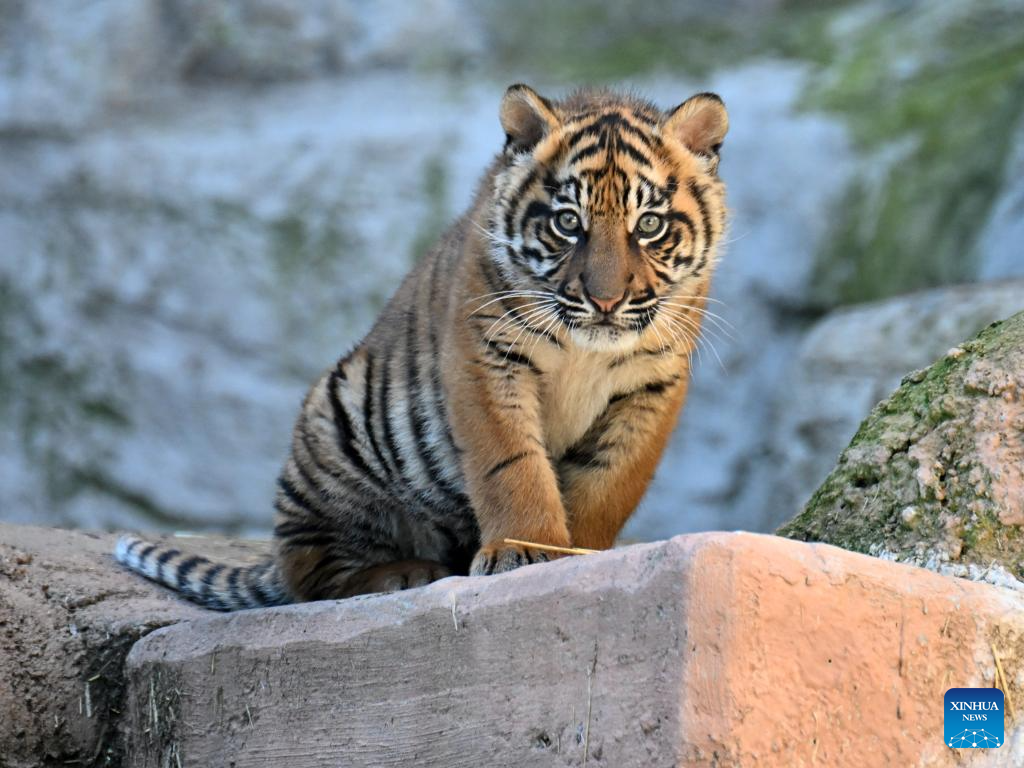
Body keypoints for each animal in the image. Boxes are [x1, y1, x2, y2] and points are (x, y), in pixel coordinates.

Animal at [115, 84, 729, 610]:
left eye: (648, 225)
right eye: (567, 222)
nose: (604, 300)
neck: (587, 348)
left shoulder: (653, 384)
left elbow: (611, 481)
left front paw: (584, 554)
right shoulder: (485, 359)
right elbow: (512, 464)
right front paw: (528, 548)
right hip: (335, 420)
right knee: (312, 576)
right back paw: (405, 573)